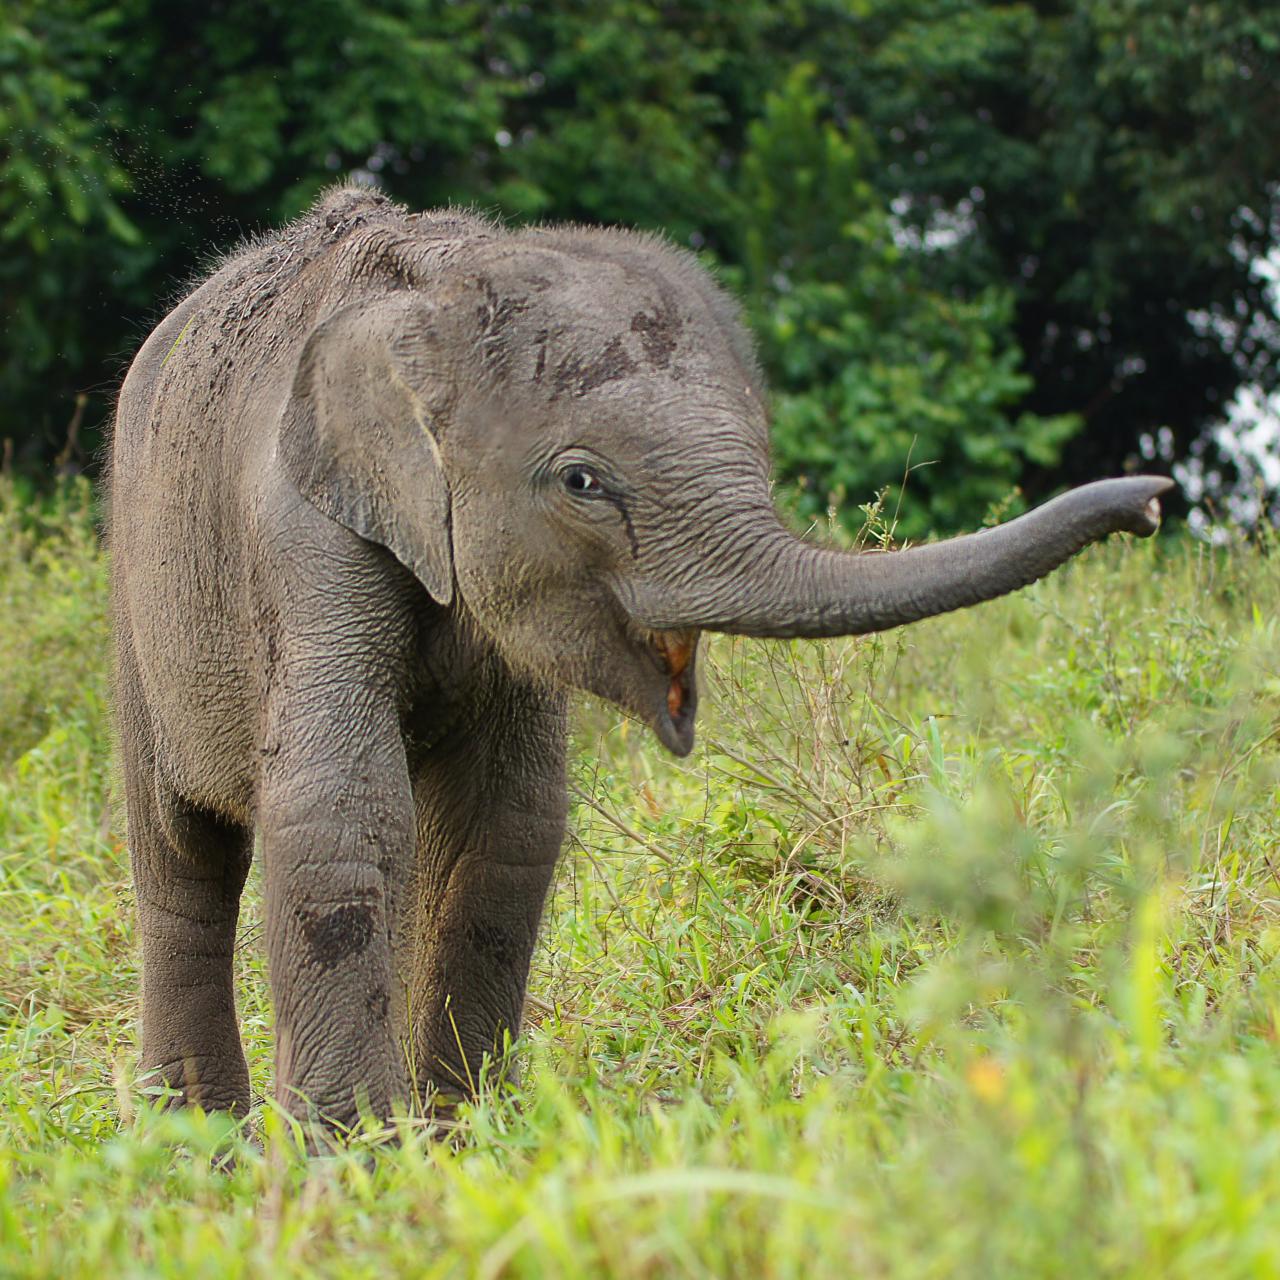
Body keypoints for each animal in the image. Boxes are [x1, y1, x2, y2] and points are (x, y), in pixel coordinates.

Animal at [109, 185, 1170, 1134]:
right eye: (582, 481)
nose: (1156, 500)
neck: (439, 280)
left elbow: (509, 821)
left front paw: (460, 1141)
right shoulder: (300, 537)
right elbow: (337, 804)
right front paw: (354, 1163)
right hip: (137, 615)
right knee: (182, 857)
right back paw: (193, 1149)